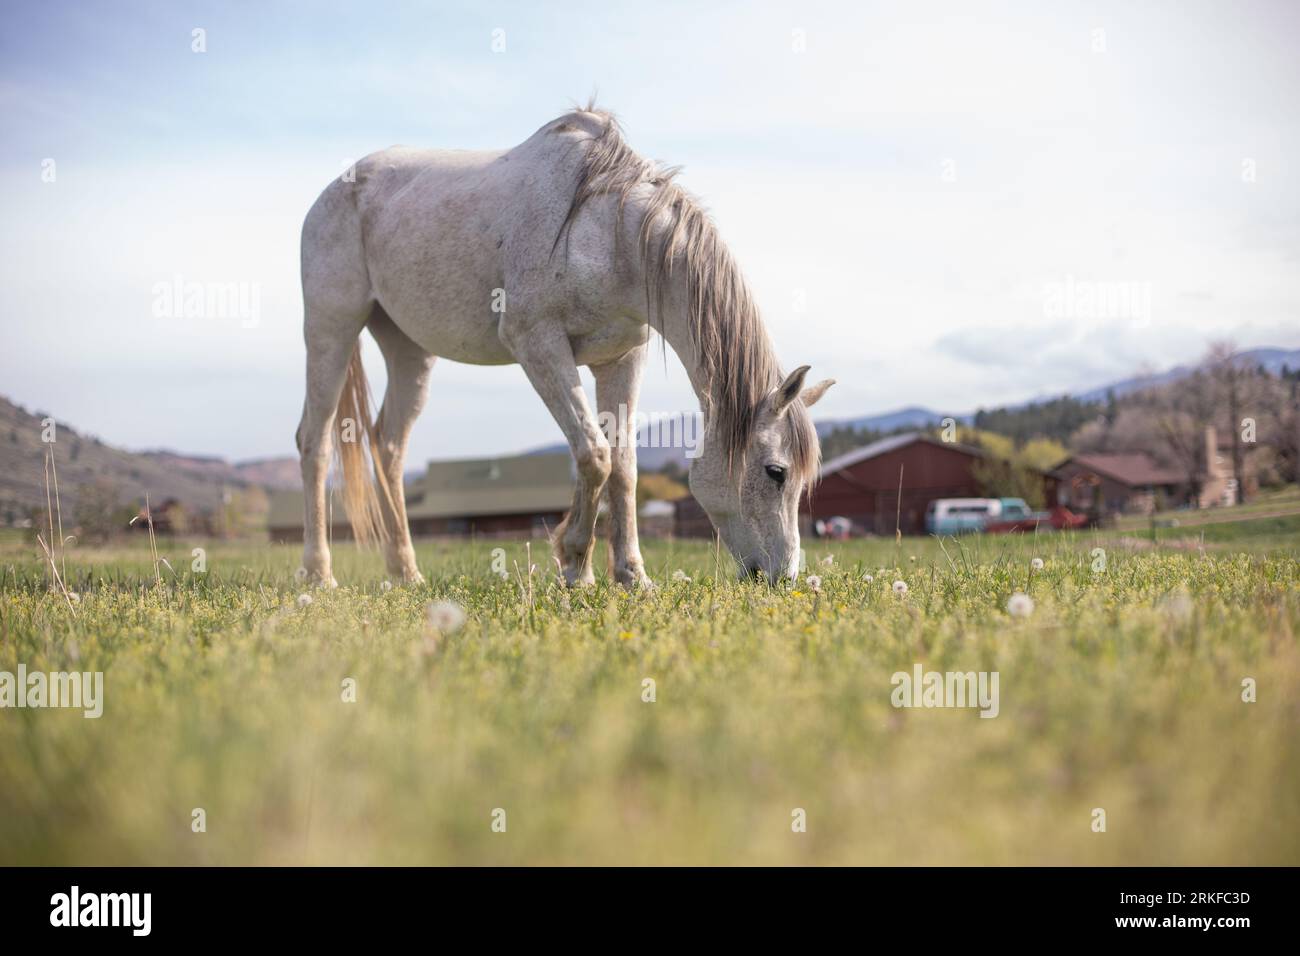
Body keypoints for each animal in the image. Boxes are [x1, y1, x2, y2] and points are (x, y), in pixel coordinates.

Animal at [295, 103, 834, 588]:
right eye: (776, 471)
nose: (783, 577)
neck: (606, 230)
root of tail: (335, 190)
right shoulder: (538, 345)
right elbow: (594, 455)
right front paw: (574, 563)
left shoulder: (620, 360)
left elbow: (622, 467)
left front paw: (630, 576)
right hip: (331, 328)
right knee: (315, 441)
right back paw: (319, 575)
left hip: (408, 349)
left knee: (388, 445)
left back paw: (406, 573)